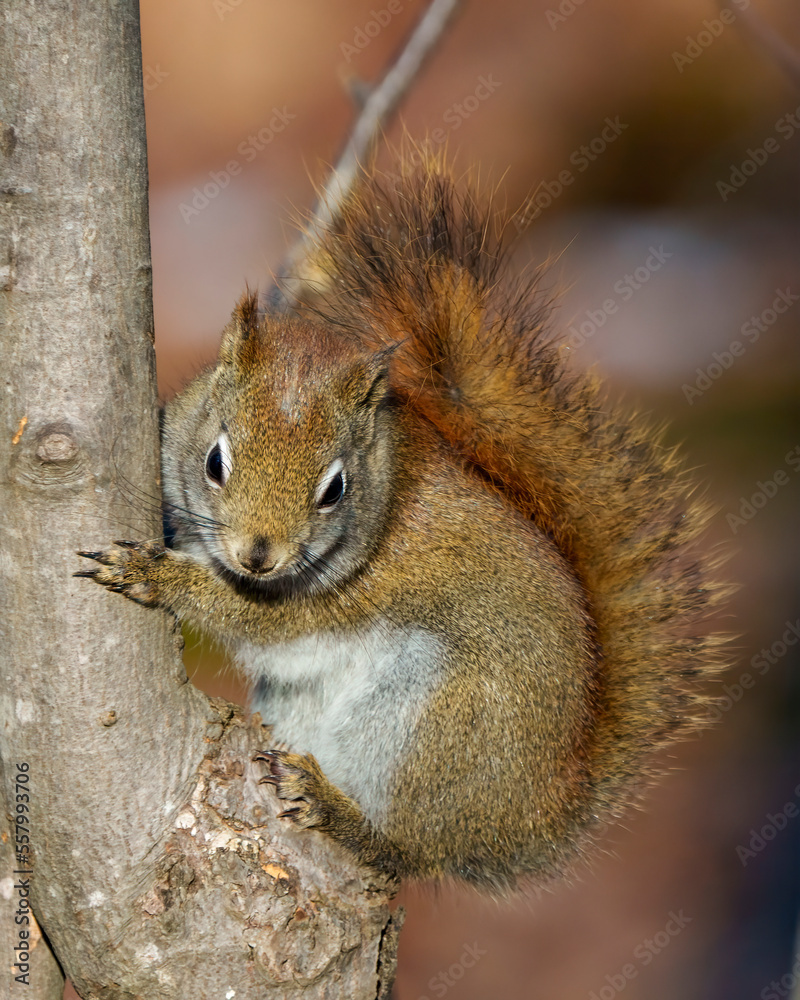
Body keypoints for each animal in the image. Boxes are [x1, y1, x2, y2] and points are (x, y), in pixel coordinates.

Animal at [78, 154, 726, 892]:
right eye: (214, 460)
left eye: (335, 489)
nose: (258, 554)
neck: (386, 503)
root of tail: (533, 825)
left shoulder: (347, 595)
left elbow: (249, 615)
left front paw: (151, 574)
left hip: (438, 730)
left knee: (411, 853)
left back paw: (338, 814)